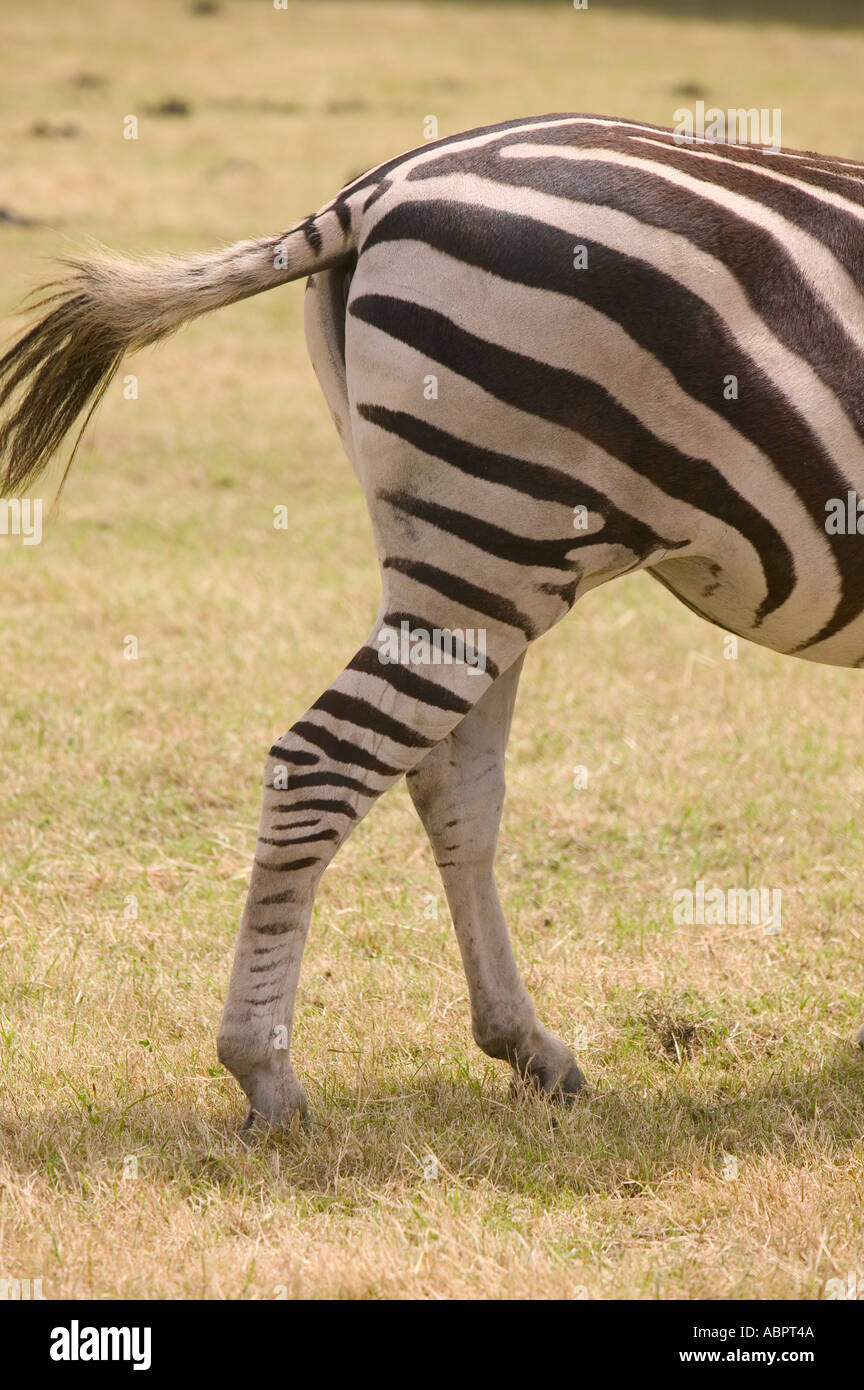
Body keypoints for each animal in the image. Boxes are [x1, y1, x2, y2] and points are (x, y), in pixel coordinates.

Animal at [2, 112, 864, 1128]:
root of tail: (372, 193)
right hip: (497, 540)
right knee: (323, 765)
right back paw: (267, 1077)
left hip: (479, 565)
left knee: (449, 783)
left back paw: (526, 1047)